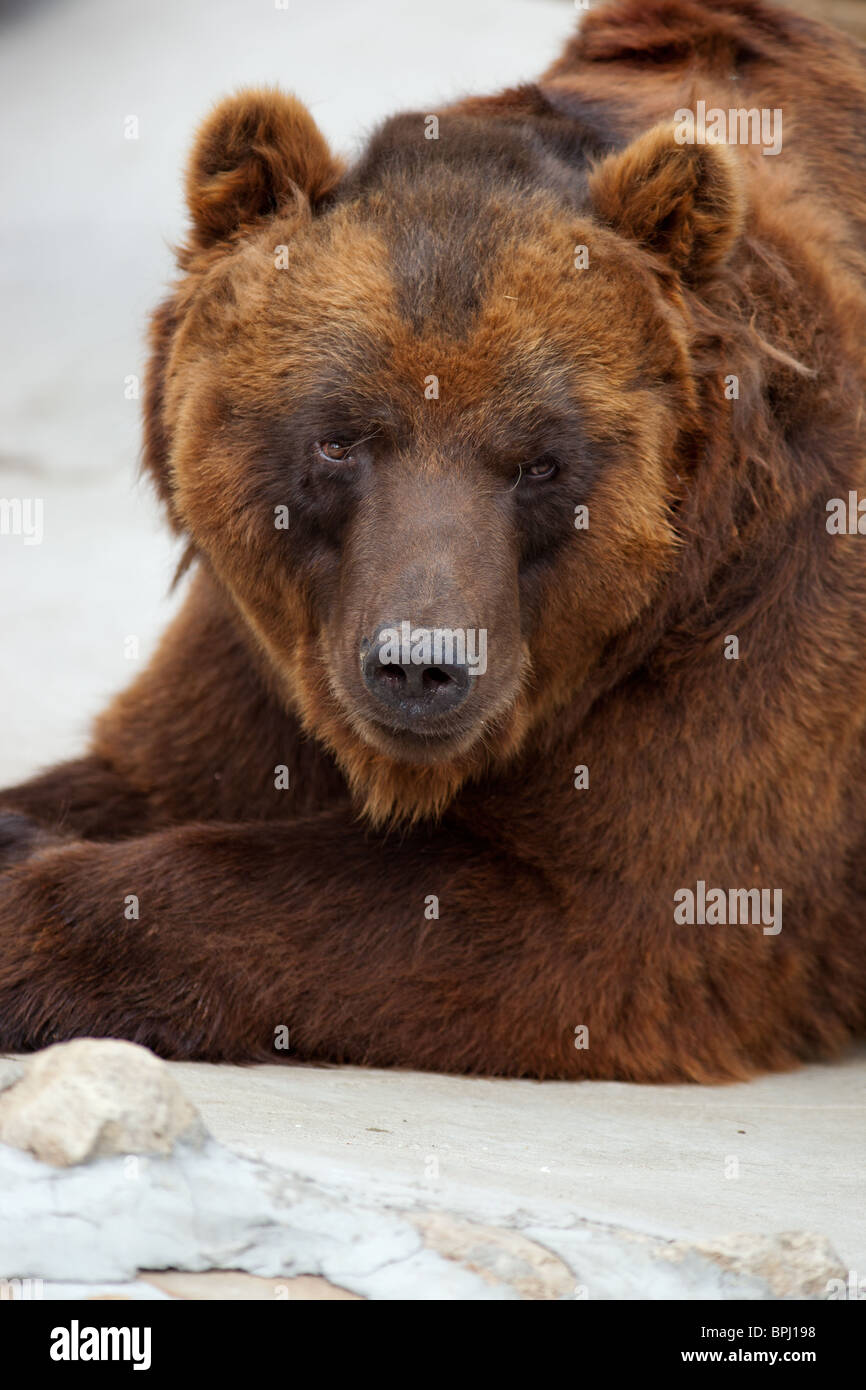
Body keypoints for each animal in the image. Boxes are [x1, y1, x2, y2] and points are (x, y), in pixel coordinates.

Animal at [1, 0, 865, 1082]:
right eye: (337, 437)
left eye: (540, 462)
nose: (423, 663)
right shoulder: (264, 648)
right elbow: (147, 769)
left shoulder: (750, 616)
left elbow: (595, 909)